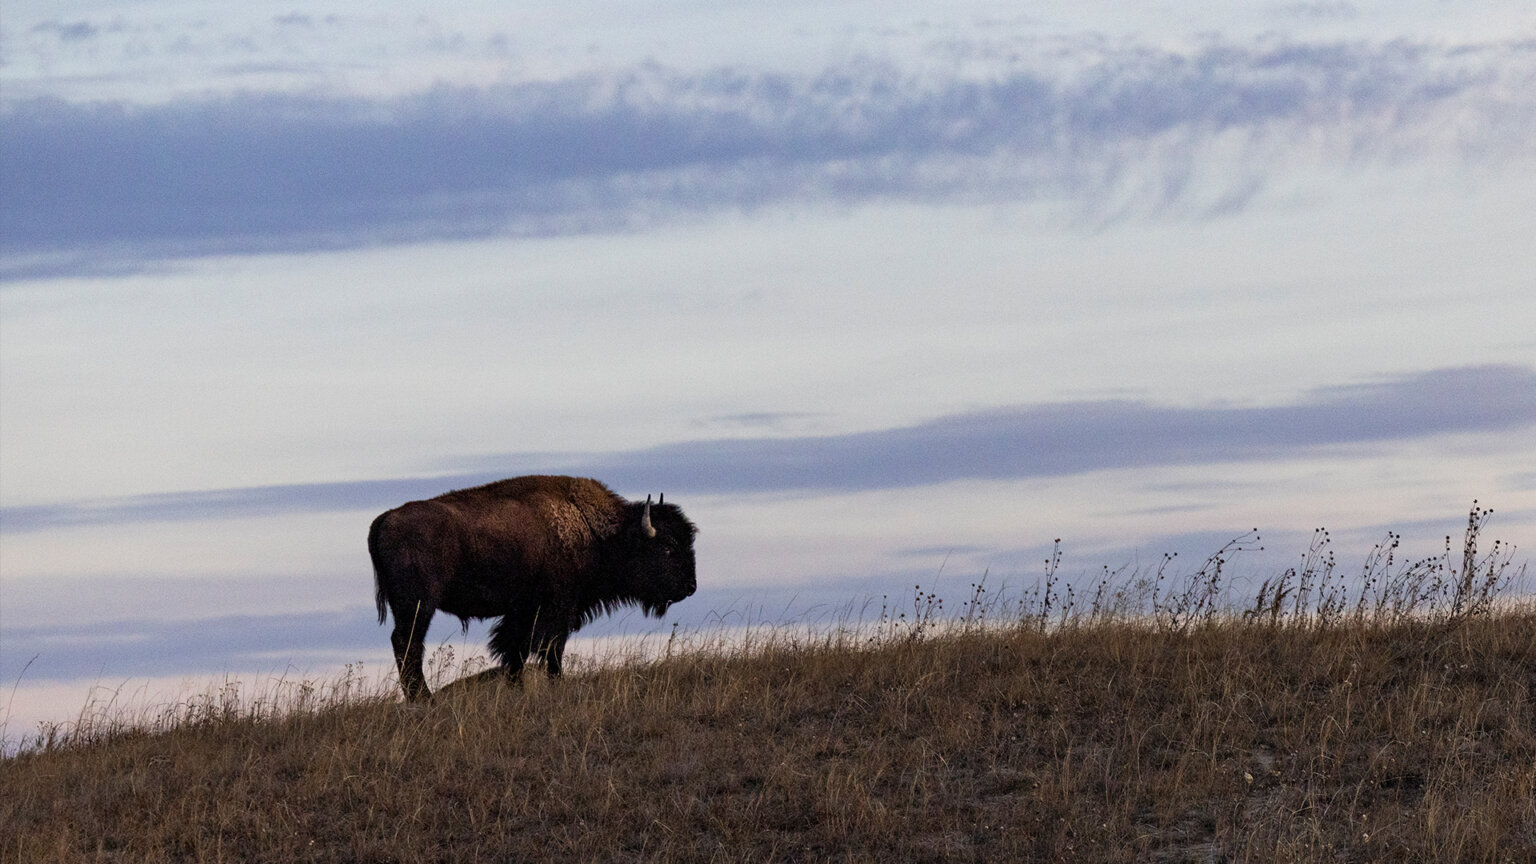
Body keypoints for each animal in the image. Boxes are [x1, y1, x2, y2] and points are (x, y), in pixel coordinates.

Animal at [369, 475, 697, 701]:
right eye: (667, 547)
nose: (691, 587)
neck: (599, 533)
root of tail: (384, 519)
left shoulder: (522, 613)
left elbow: (513, 651)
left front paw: (517, 688)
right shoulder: (557, 609)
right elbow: (551, 649)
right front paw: (556, 683)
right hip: (418, 605)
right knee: (408, 643)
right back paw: (424, 699)